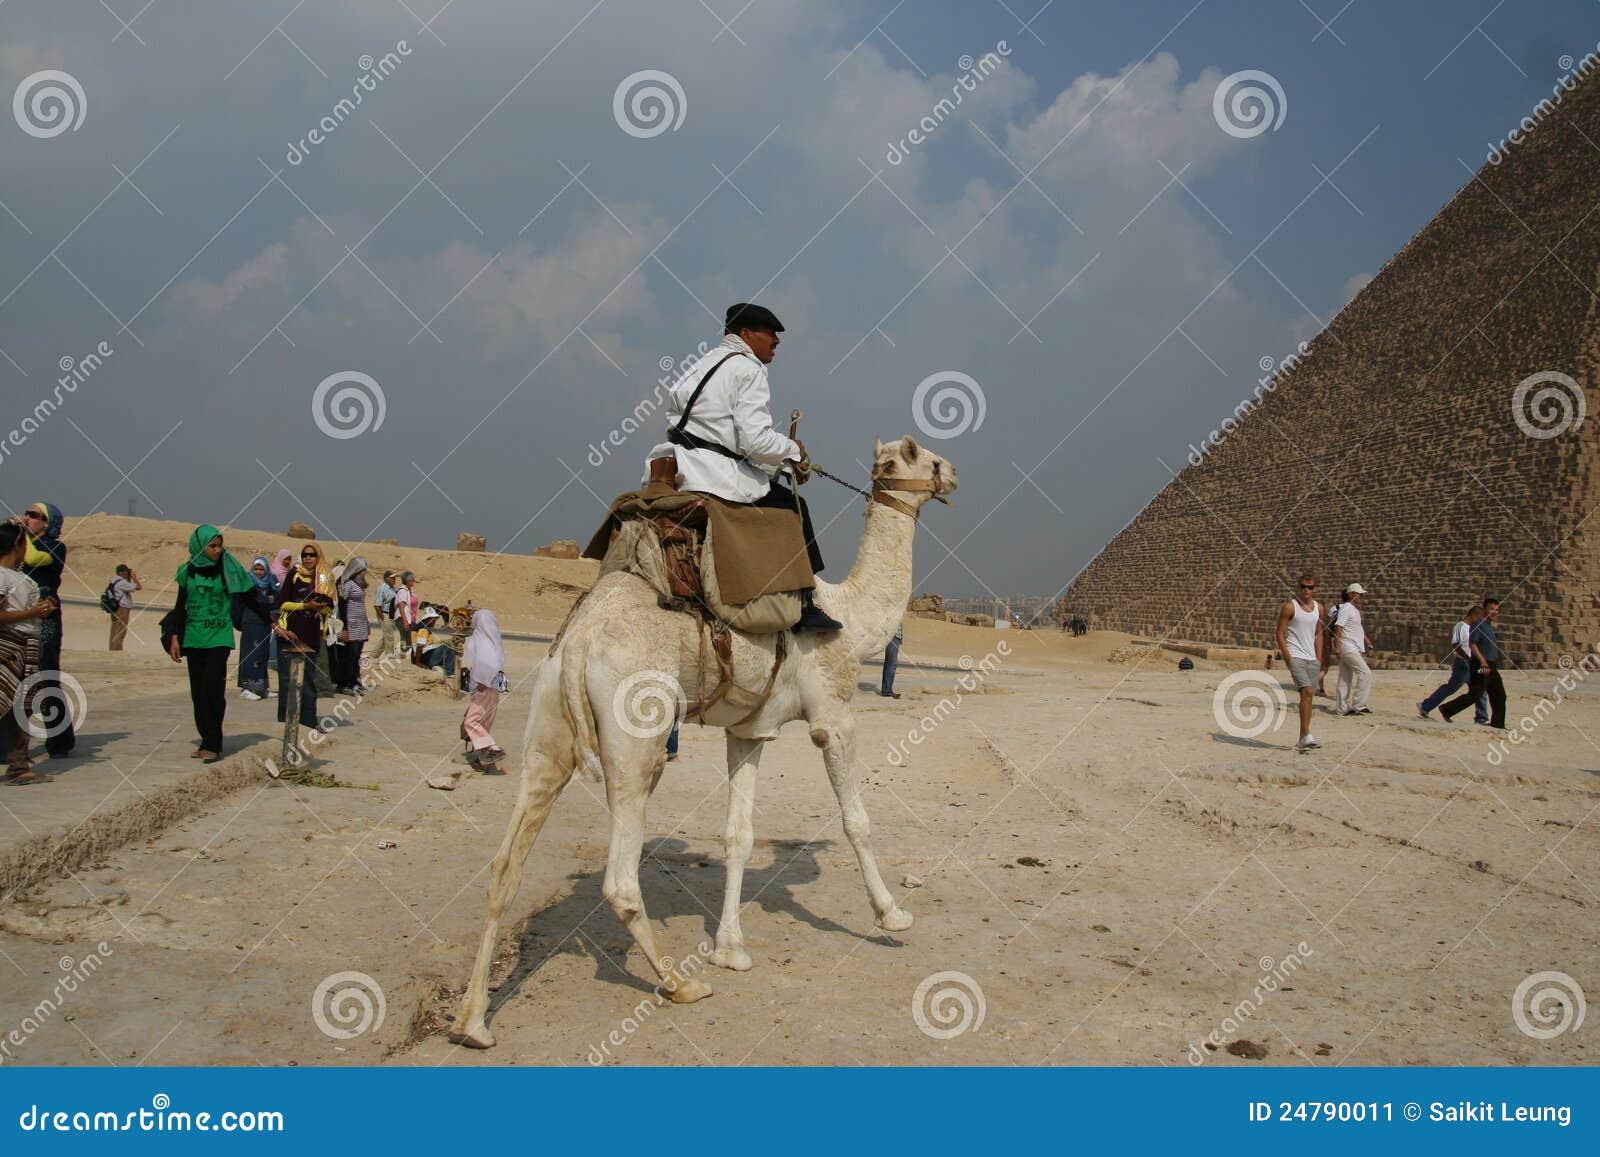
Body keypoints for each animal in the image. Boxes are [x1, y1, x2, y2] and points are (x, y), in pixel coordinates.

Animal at [449, 435, 958, 1048]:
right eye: (922, 456)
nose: (953, 474)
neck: (852, 616)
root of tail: (578, 643)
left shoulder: (749, 730)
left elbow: (738, 834)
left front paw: (730, 948)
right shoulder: (834, 714)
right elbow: (855, 819)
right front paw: (891, 915)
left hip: (547, 728)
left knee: (506, 864)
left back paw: (473, 1022)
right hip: (636, 737)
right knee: (621, 878)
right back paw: (679, 984)